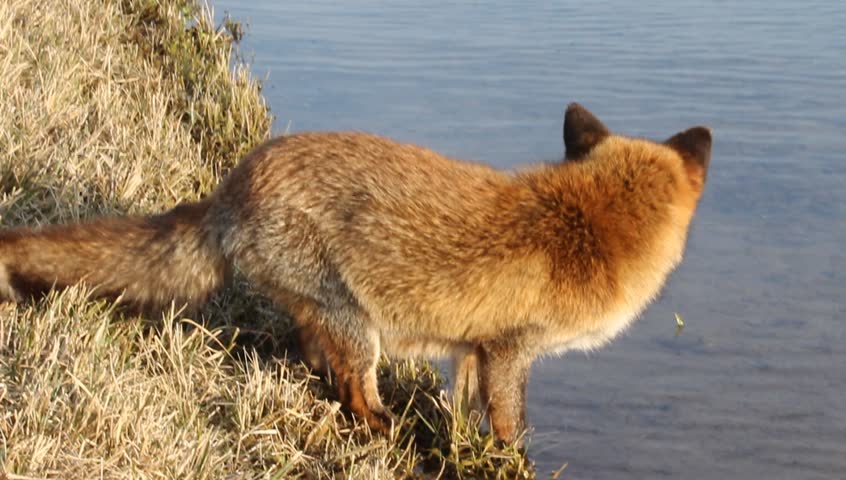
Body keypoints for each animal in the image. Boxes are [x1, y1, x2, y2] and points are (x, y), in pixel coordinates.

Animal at [0, 103, 710, 445]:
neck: (587, 225)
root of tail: (235, 182)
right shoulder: (510, 349)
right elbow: (510, 424)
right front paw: (510, 459)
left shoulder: (473, 349)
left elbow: (463, 406)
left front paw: (460, 443)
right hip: (357, 321)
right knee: (354, 389)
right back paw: (385, 428)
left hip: (333, 315)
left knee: (317, 357)